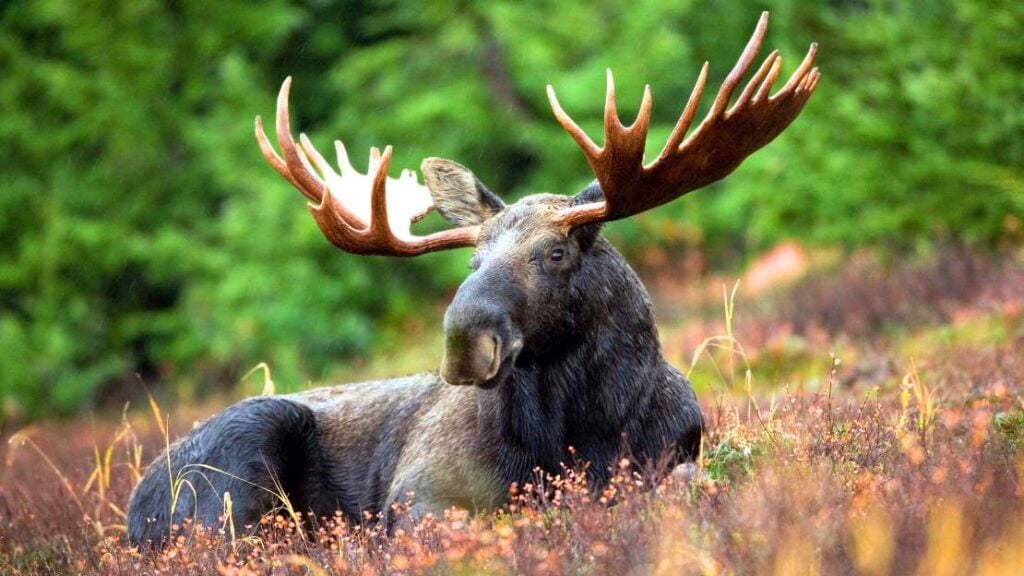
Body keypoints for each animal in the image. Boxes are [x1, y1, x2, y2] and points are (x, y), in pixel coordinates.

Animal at [127, 12, 818, 546]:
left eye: (555, 253)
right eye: (472, 261)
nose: (464, 341)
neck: (583, 430)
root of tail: (134, 509)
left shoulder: (674, 455)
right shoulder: (419, 492)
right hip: (238, 465)